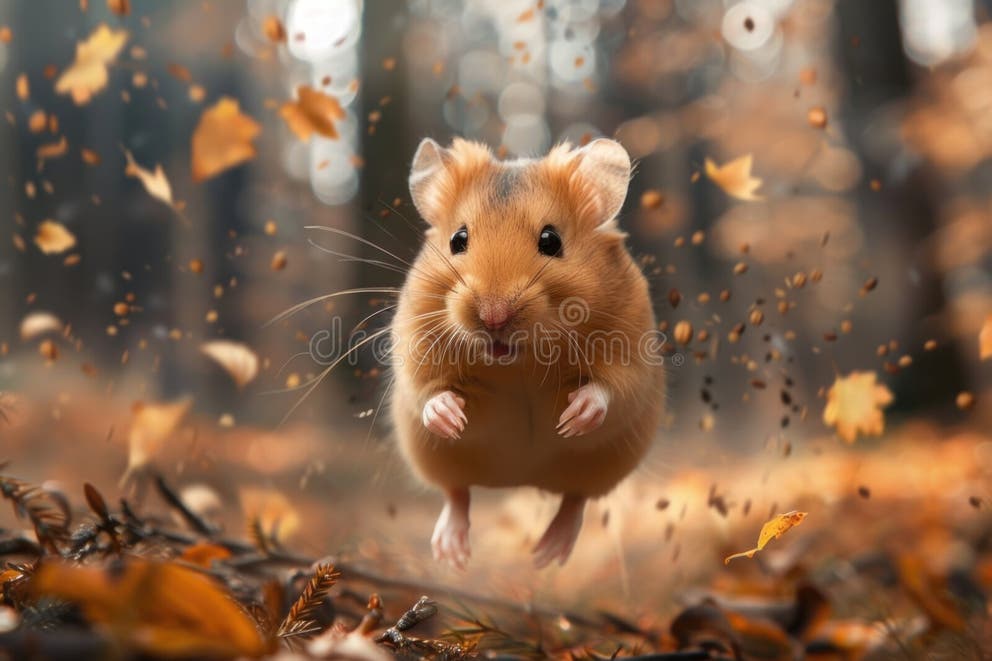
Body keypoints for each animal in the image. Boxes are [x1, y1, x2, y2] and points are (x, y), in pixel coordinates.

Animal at [390, 137, 664, 569]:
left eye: (551, 240)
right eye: (458, 240)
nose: (493, 316)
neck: (518, 359)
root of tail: (520, 481)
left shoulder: (632, 344)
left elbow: (610, 388)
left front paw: (573, 418)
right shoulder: (414, 338)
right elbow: (427, 390)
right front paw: (451, 417)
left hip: (605, 463)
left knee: (575, 499)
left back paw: (545, 554)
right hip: (432, 456)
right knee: (456, 493)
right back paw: (453, 554)